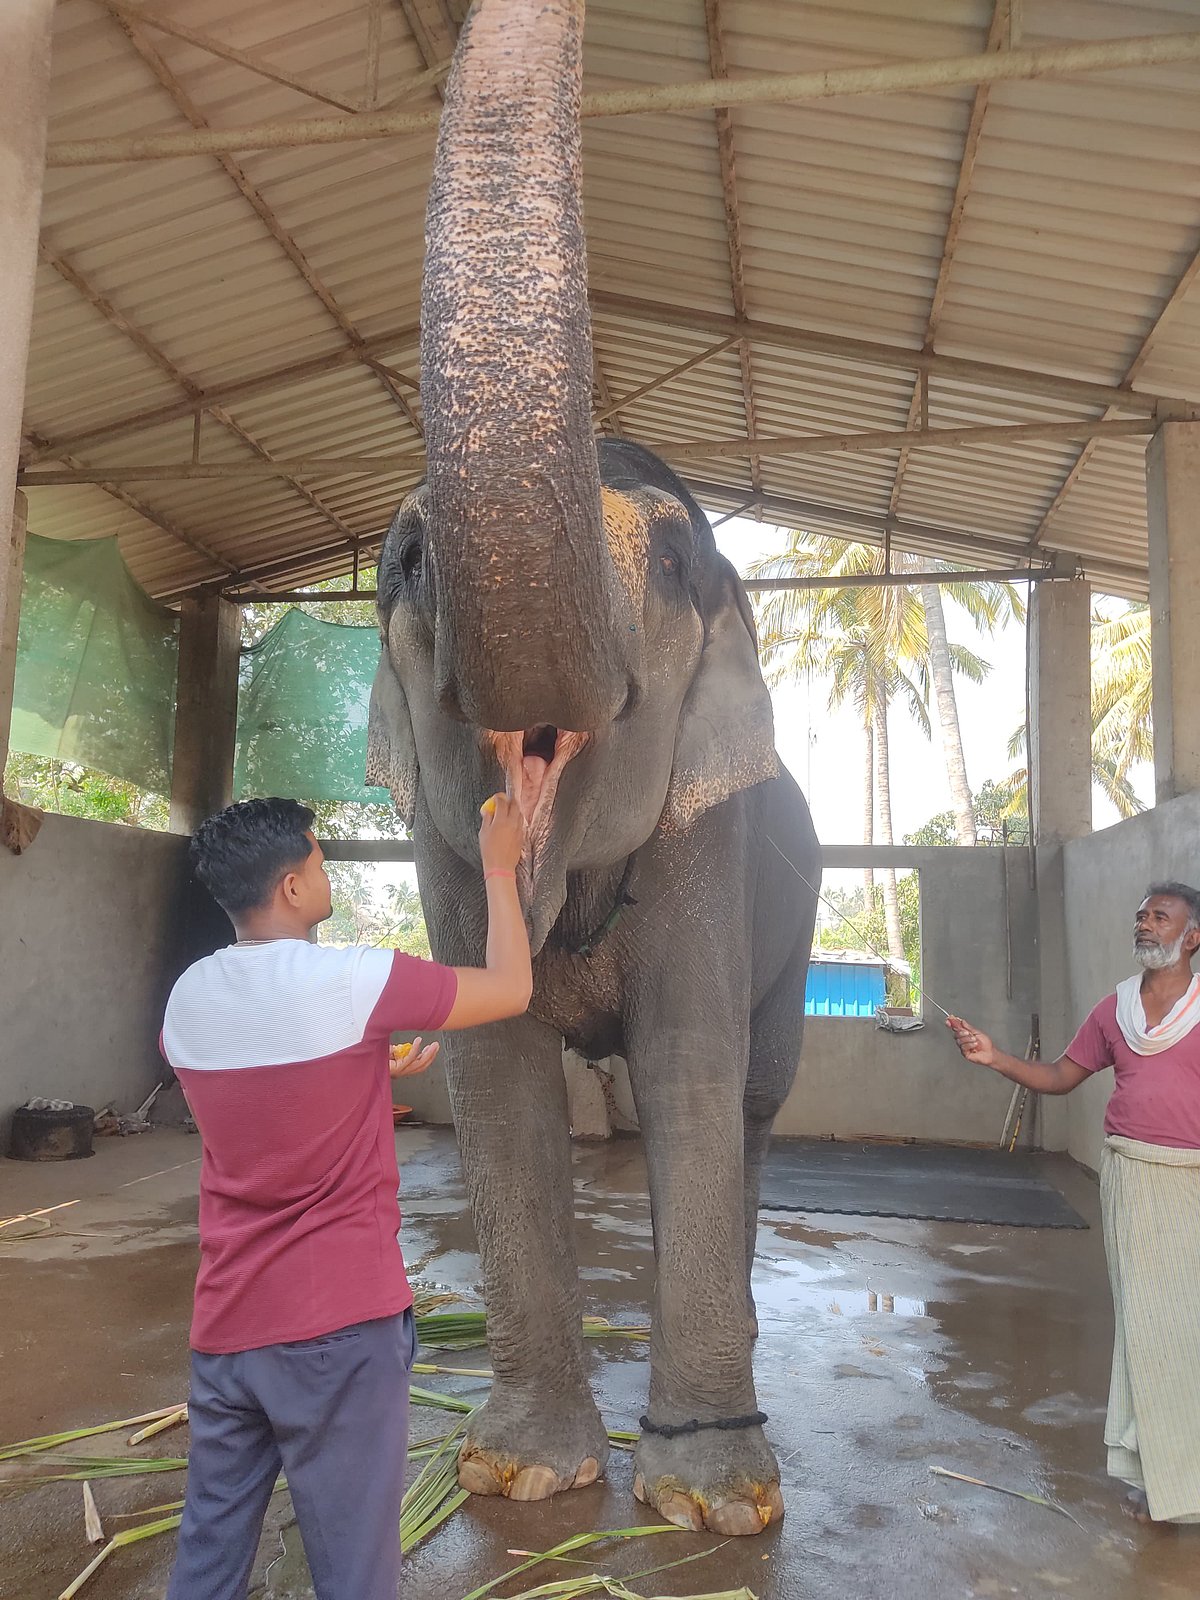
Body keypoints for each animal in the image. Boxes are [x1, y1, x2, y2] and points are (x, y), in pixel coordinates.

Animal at [366, 0, 820, 1538]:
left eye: (679, 566)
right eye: (405, 561)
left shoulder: (707, 846)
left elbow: (688, 1065)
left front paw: (714, 1502)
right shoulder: (445, 855)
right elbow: (495, 1079)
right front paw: (517, 1473)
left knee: (750, 1100)